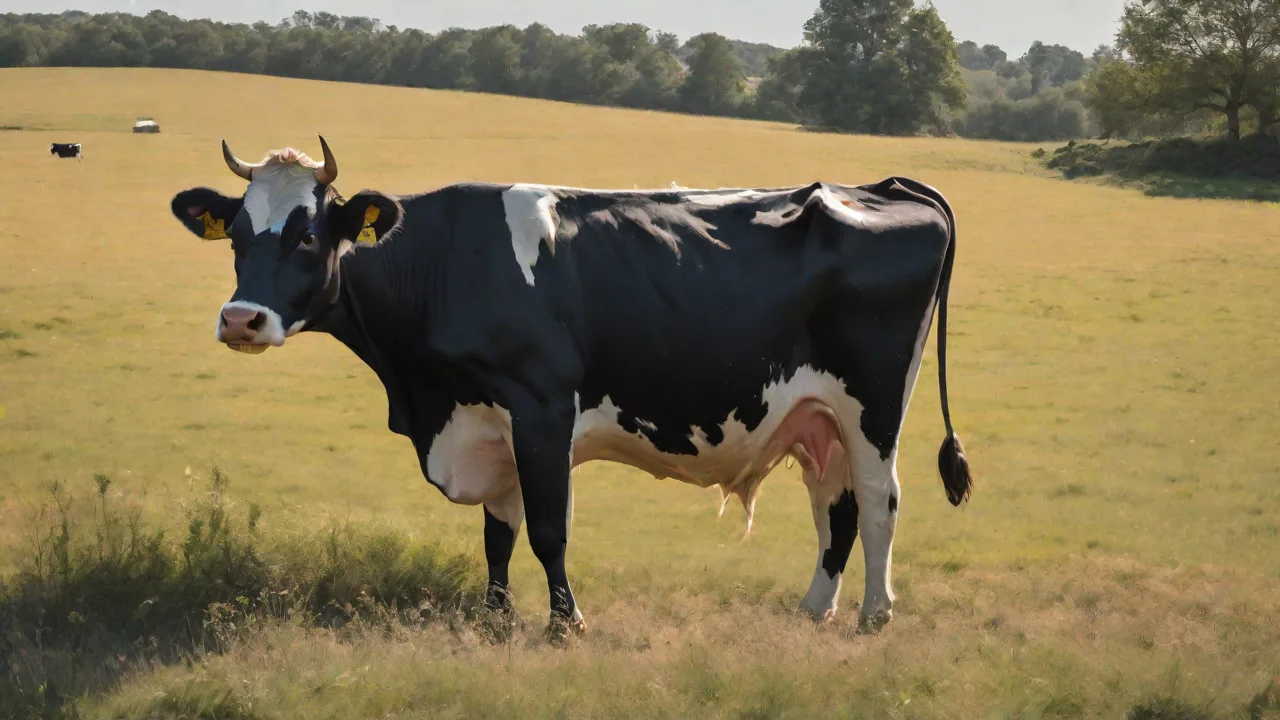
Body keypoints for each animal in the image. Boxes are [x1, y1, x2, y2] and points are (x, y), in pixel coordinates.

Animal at [169, 137, 973, 636]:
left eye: (307, 235)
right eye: (237, 235)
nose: (241, 319)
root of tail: (876, 187)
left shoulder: (541, 408)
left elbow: (548, 530)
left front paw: (566, 623)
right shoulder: (485, 419)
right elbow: (497, 532)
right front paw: (494, 617)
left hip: (872, 406)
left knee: (878, 500)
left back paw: (874, 615)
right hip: (816, 415)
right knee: (834, 506)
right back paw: (814, 609)